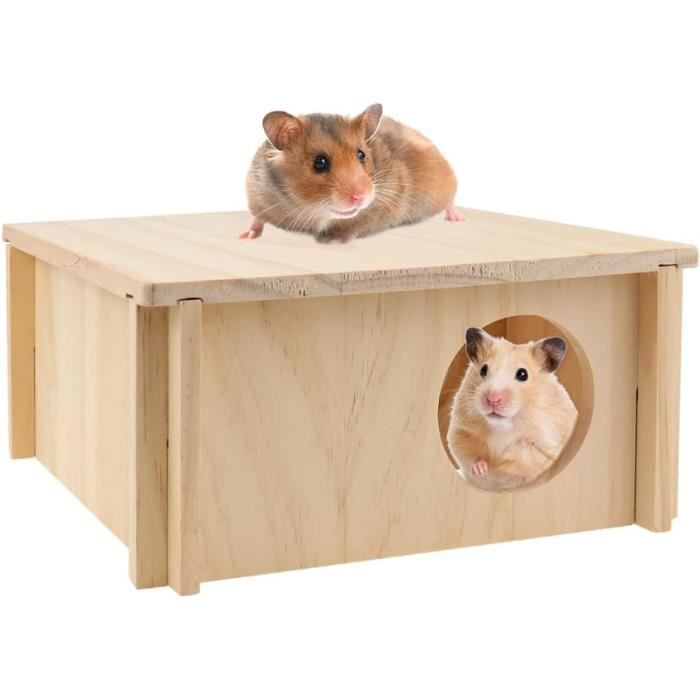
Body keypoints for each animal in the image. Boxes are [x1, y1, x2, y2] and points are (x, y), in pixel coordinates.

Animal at [241, 103, 464, 243]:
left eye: (361, 154)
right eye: (319, 162)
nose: (360, 197)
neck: (313, 210)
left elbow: (354, 226)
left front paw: (333, 240)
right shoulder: (258, 196)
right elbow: (257, 220)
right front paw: (246, 236)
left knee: (450, 202)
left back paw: (458, 218)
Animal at [446, 327, 578, 491]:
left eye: (523, 374)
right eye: (483, 370)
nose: (492, 399)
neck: (502, 426)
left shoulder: (544, 447)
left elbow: (520, 461)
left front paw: (500, 468)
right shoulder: (461, 431)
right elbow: (467, 453)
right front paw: (482, 469)